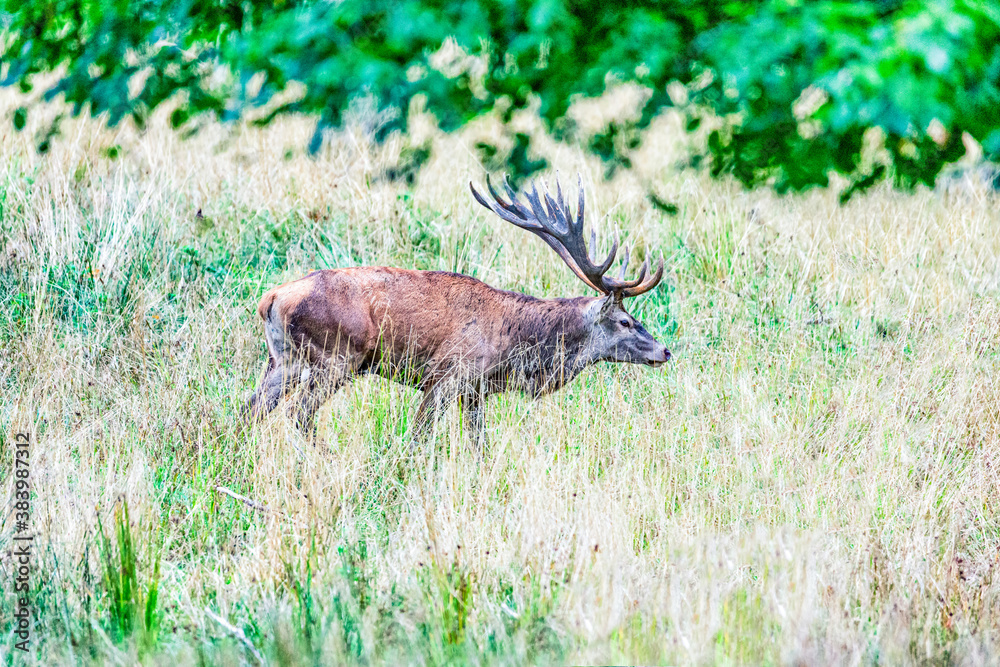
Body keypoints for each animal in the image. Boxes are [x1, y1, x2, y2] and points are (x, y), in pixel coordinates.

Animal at [243, 174, 670, 444]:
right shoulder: (447, 374)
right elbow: (418, 438)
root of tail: (271, 299)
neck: (513, 343)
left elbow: (479, 446)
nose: (664, 350)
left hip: (282, 360)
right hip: (335, 358)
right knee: (298, 415)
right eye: (625, 321)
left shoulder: (476, 391)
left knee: (249, 409)